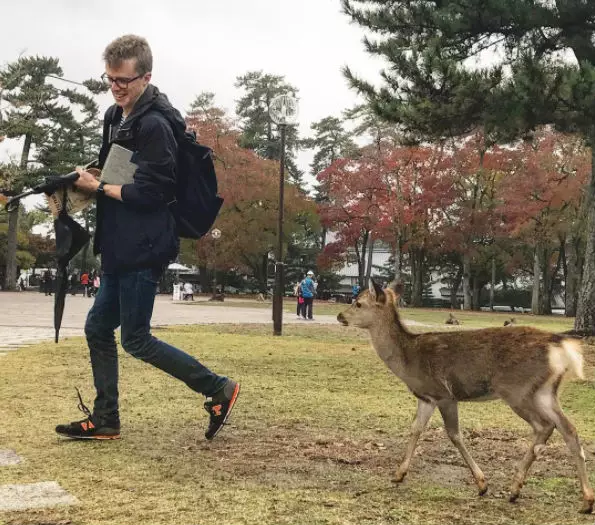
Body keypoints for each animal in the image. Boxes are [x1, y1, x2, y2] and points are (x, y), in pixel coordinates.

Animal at [338, 278, 592, 512]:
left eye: (359, 303)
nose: (340, 316)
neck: (409, 359)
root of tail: (559, 346)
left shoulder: (444, 394)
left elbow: (454, 434)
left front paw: (482, 484)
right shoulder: (426, 397)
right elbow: (416, 429)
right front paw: (398, 474)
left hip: (517, 390)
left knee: (544, 426)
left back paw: (514, 489)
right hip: (545, 392)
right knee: (569, 428)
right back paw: (587, 501)